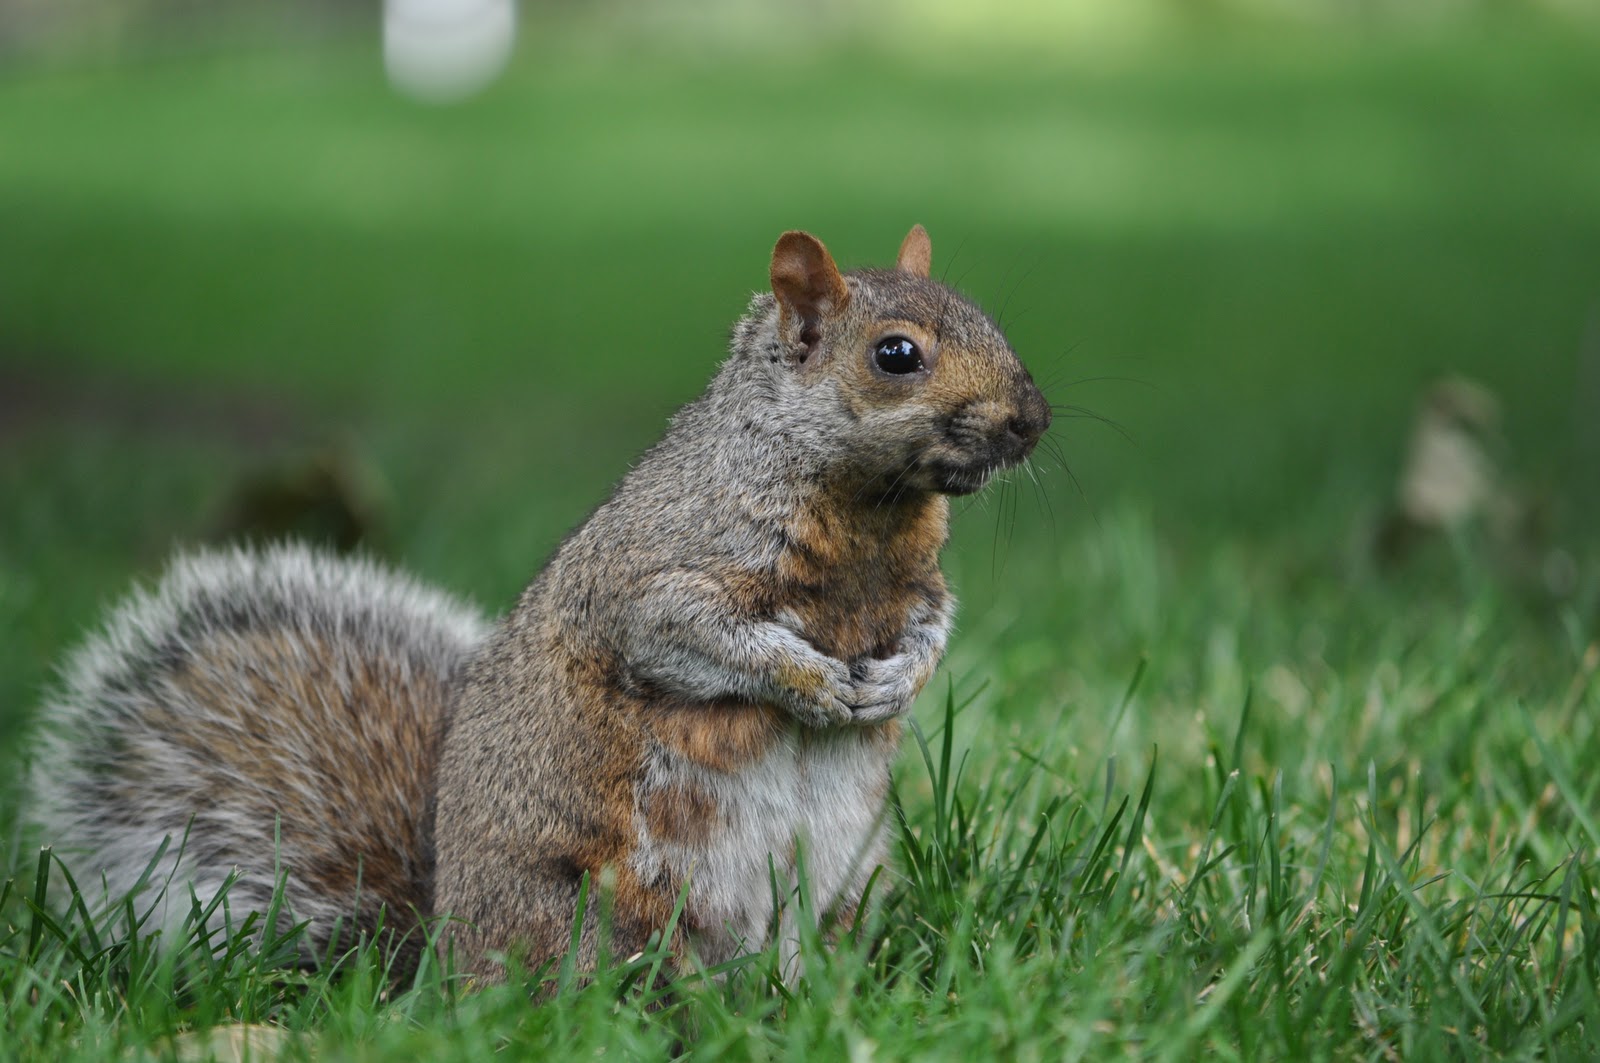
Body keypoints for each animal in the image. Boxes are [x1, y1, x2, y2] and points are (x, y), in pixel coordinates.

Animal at [27, 226, 1052, 983]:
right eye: (896, 355)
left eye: (993, 322)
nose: (1032, 420)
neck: (871, 515)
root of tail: (444, 958)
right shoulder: (655, 583)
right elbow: (704, 637)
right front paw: (812, 681)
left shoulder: (921, 585)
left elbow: (933, 623)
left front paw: (899, 678)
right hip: (606, 912)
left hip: (835, 889)